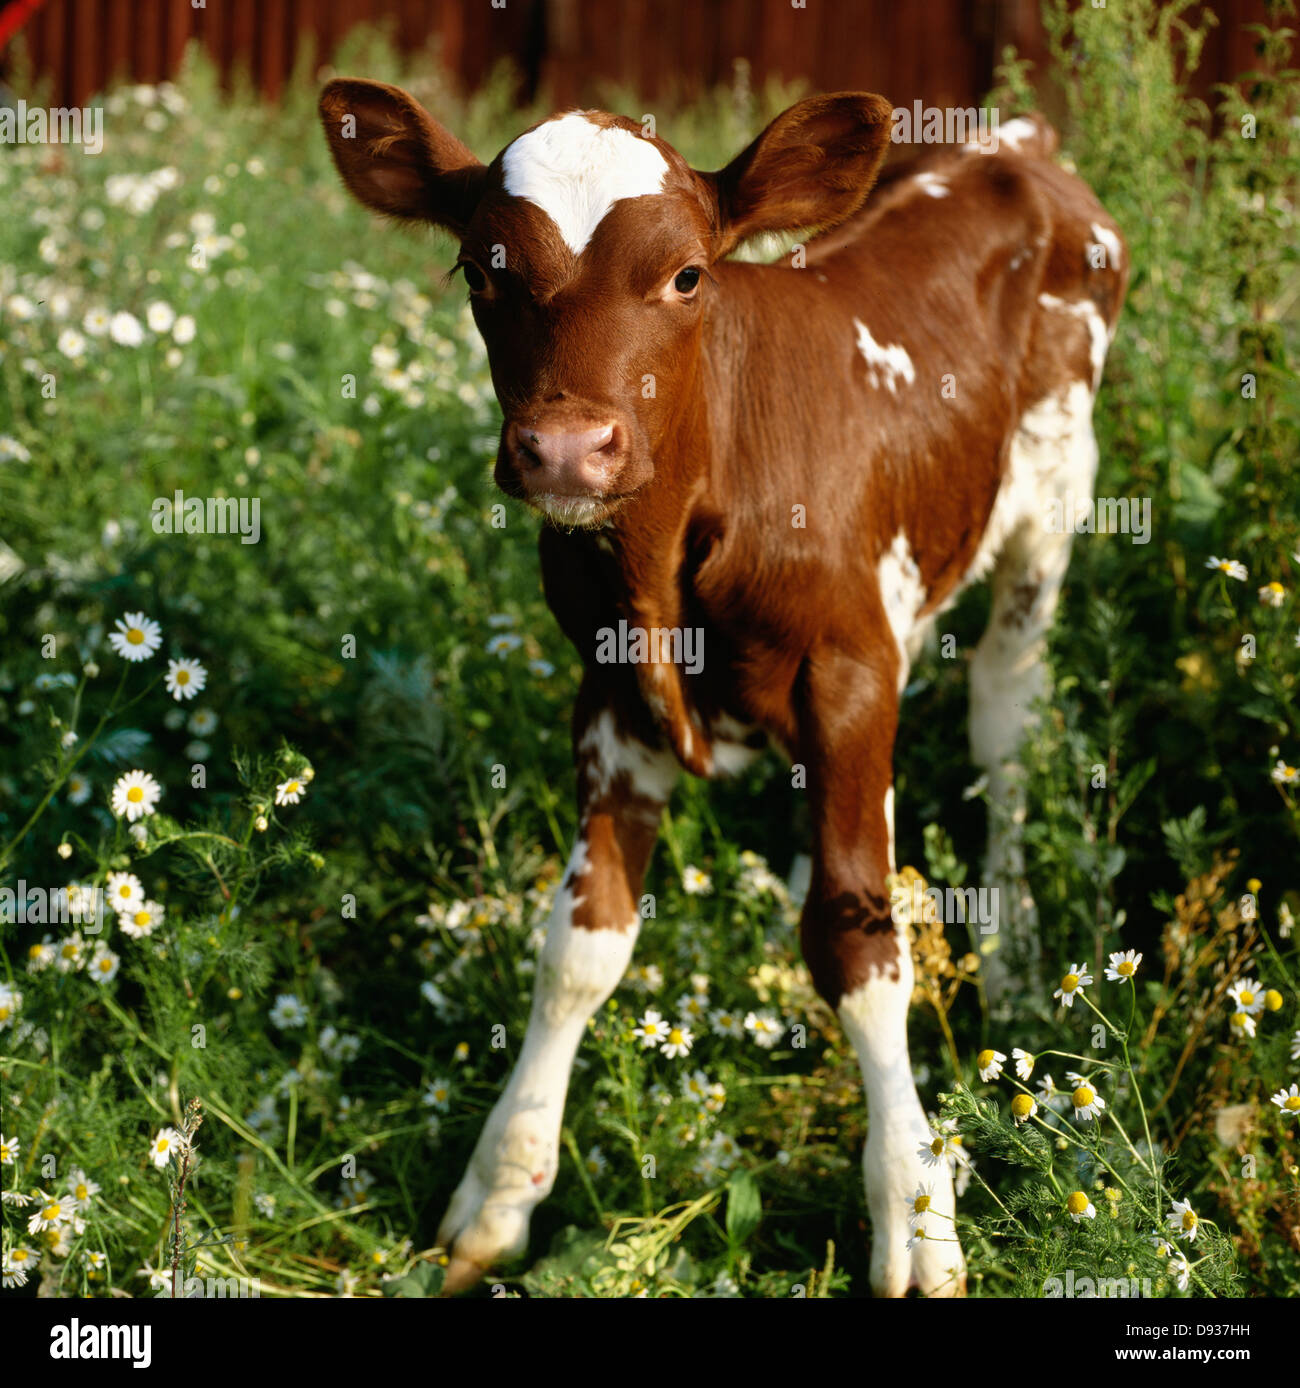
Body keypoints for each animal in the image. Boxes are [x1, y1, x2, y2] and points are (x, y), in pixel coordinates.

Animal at [319, 79, 1128, 1296]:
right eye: (480, 269)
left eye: (688, 274)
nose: (567, 449)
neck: (671, 553)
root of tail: (1012, 143)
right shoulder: (611, 695)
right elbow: (580, 945)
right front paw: (499, 1195)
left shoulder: (854, 670)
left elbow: (861, 941)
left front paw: (915, 1215)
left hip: (1050, 504)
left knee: (1006, 725)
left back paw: (1021, 946)